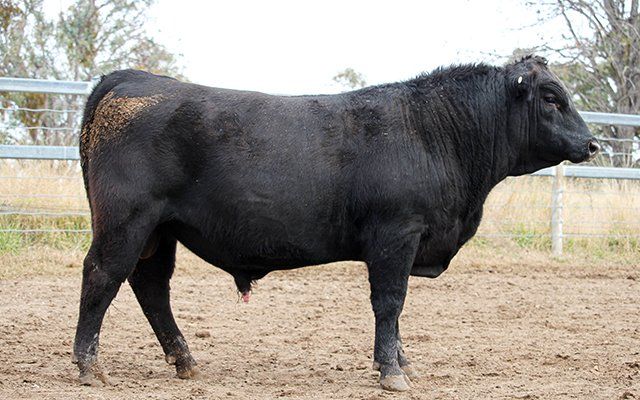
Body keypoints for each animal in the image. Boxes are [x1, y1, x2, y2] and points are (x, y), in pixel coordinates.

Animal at [72, 55, 600, 391]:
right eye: (551, 97)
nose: (593, 144)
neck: (434, 133)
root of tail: (130, 79)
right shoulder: (396, 234)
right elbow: (390, 303)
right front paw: (392, 372)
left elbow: (395, 312)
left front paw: (404, 362)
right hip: (127, 221)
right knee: (102, 276)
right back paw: (88, 366)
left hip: (159, 232)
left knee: (151, 287)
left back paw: (185, 361)